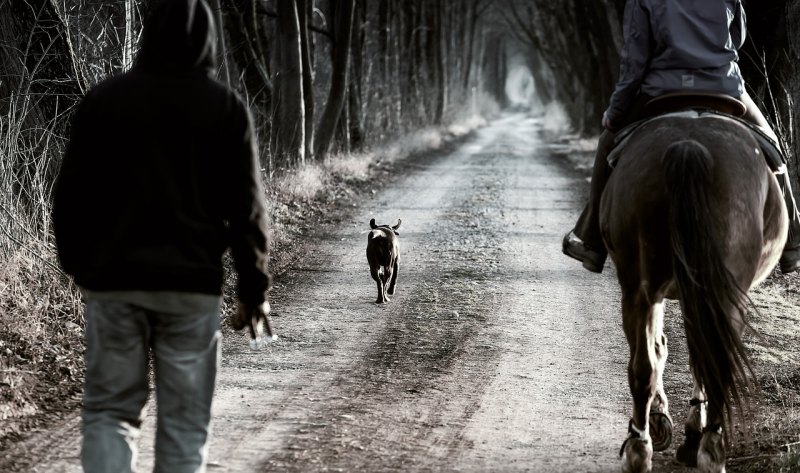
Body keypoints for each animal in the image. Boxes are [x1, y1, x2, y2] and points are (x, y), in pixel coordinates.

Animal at [600, 114, 788, 472]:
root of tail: (690, 145)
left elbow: (665, 350)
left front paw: (667, 423)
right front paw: (684, 430)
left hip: (641, 288)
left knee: (645, 367)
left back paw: (644, 446)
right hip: (719, 293)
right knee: (710, 364)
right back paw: (707, 448)